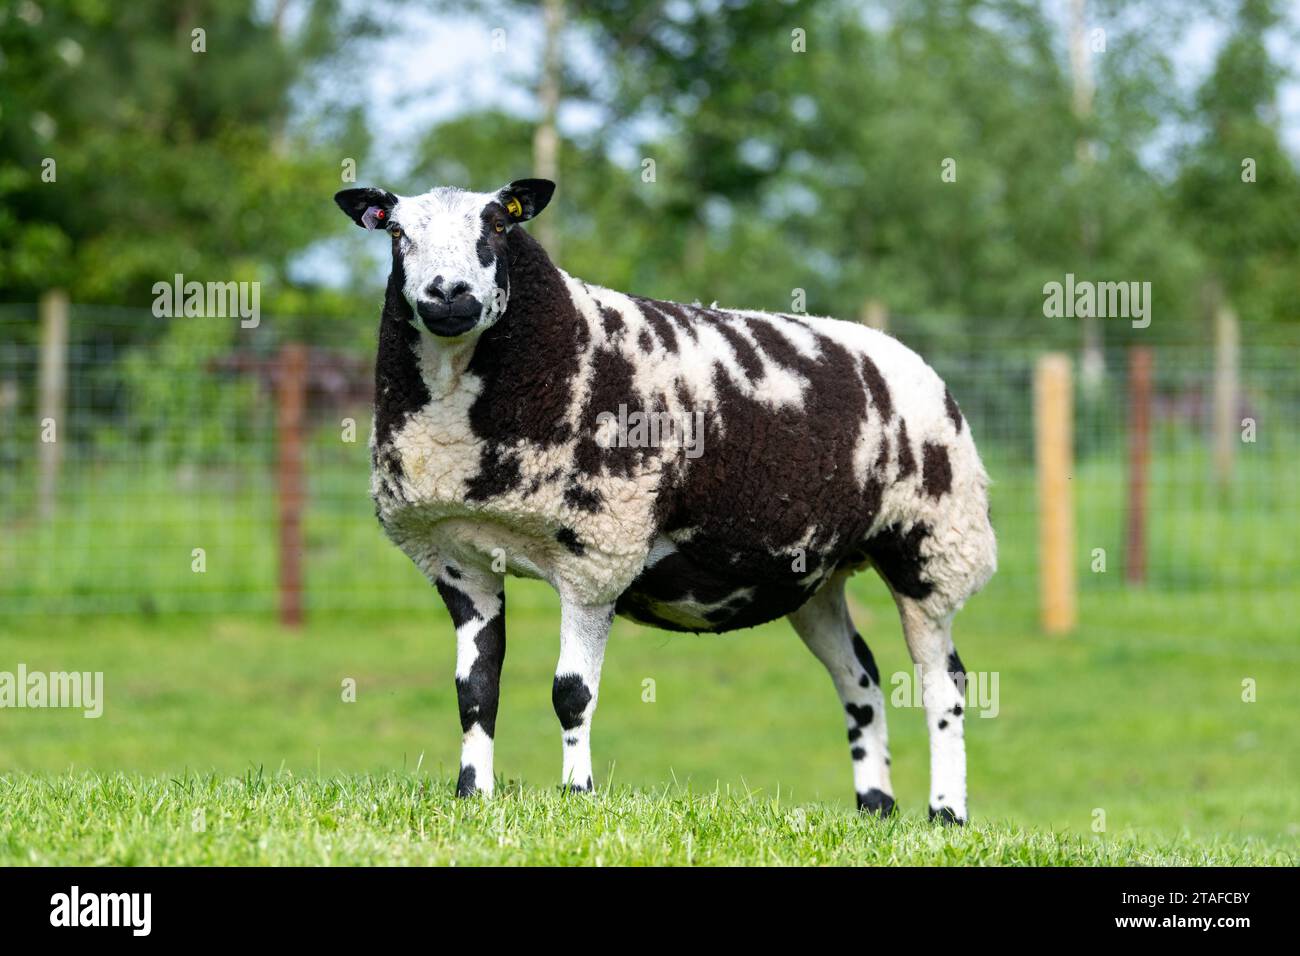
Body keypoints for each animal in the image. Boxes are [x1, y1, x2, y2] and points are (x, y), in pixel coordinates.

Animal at [333, 179, 997, 822]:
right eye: (396, 231)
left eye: (499, 224)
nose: (450, 296)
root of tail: (906, 356)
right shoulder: (457, 559)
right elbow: (475, 691)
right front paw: (472, 795)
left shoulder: (598, 552)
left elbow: (571, 693)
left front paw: (578, 796)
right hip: (814, 574)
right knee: (859, 678)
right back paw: (875, 809)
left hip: (931, 545)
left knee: (943, 685)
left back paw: (946, 813)